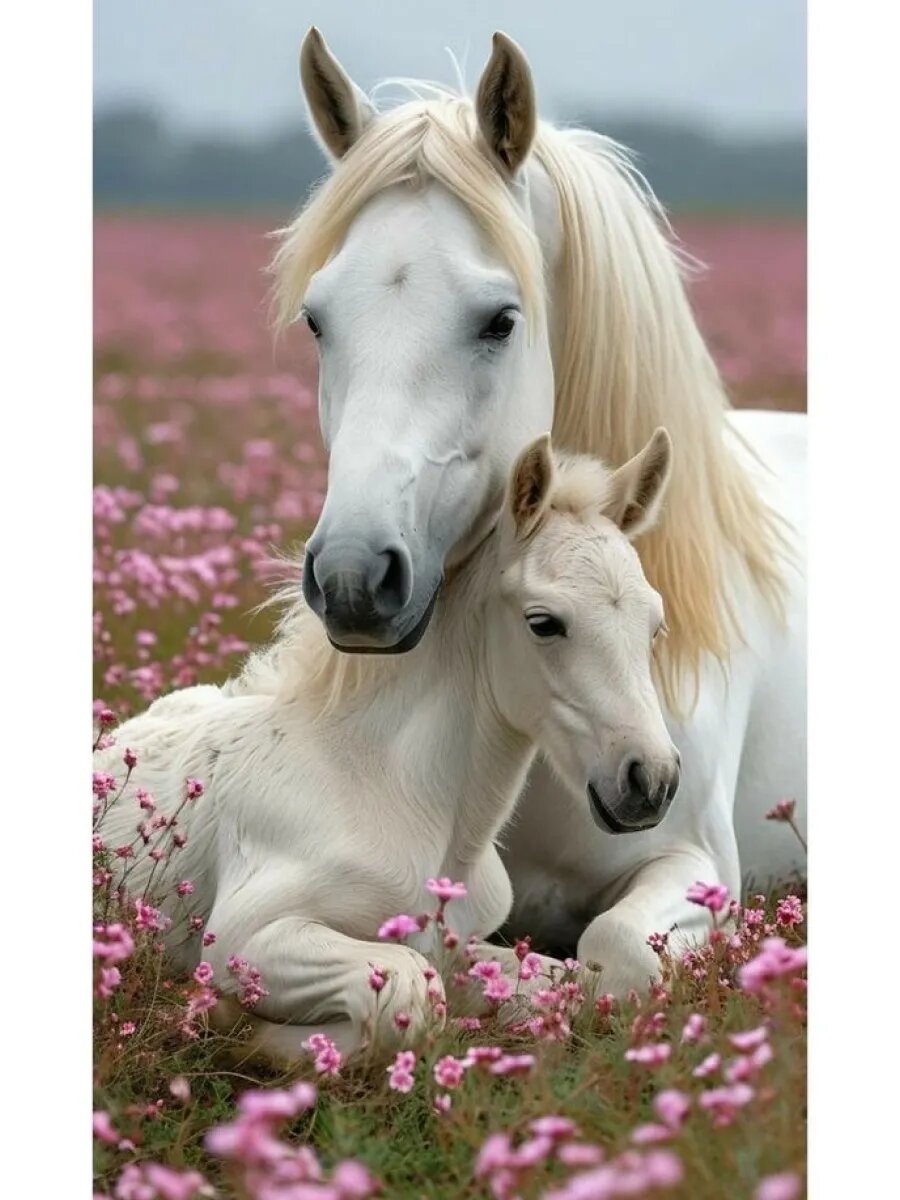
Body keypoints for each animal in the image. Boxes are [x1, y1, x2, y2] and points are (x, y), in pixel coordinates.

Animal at [97, 431, 678, 1061]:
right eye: (543, 622)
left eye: (655, 625)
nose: (651, 781)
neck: (386, 788)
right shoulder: (245, 936)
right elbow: (408, 994)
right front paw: (229, 1022)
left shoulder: (463, 945)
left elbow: (580, 988)